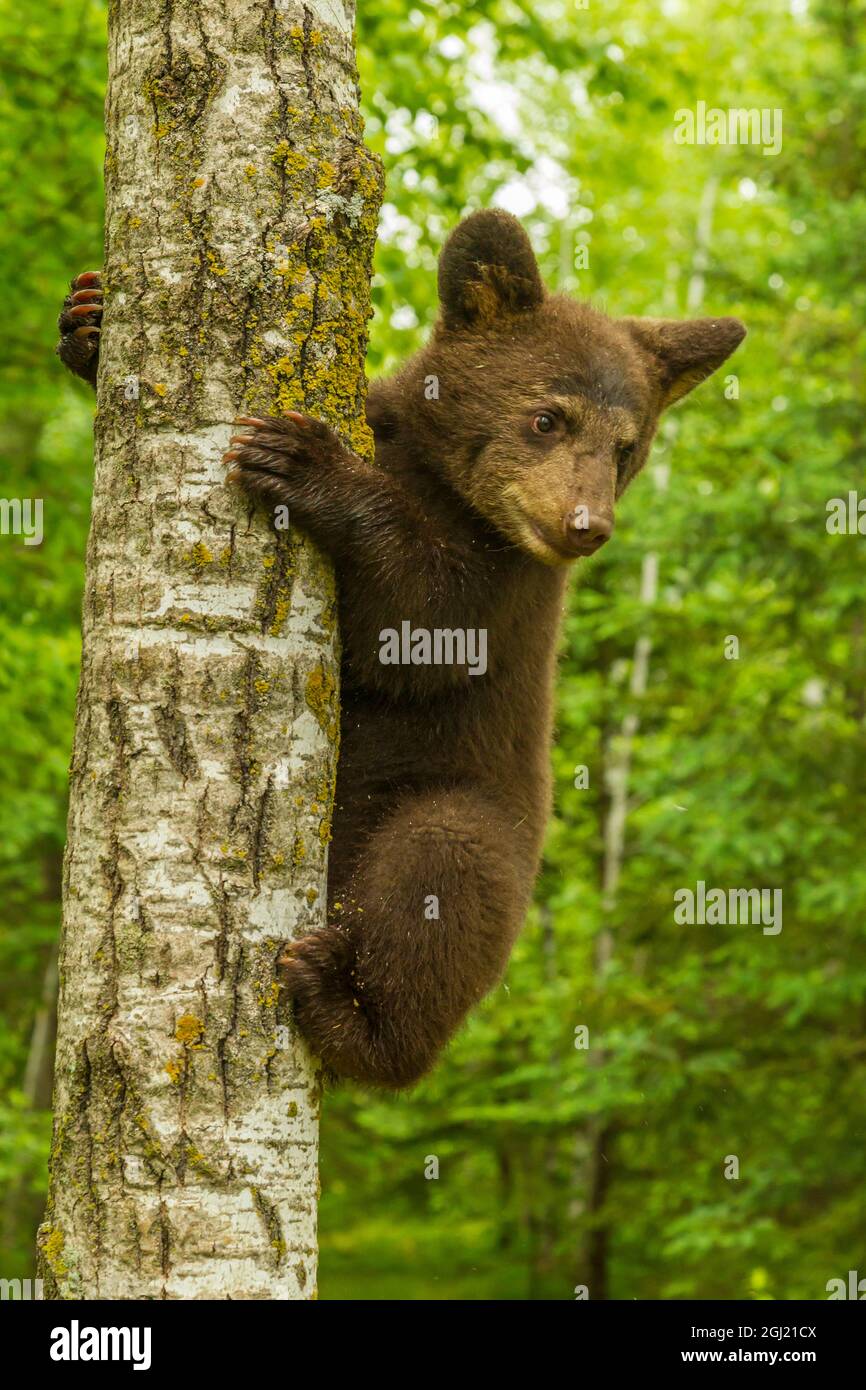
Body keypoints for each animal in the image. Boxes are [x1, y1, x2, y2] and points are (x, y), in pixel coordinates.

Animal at [58, 210, 745, 1089]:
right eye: (548, 417)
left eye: (626, 446)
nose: (585, 526)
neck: (445, 481)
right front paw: (88, 321)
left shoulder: (510, 587)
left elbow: (418, 627)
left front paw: (305, 462)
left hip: (476, 831)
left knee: (439, 874)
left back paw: (346, 1010)